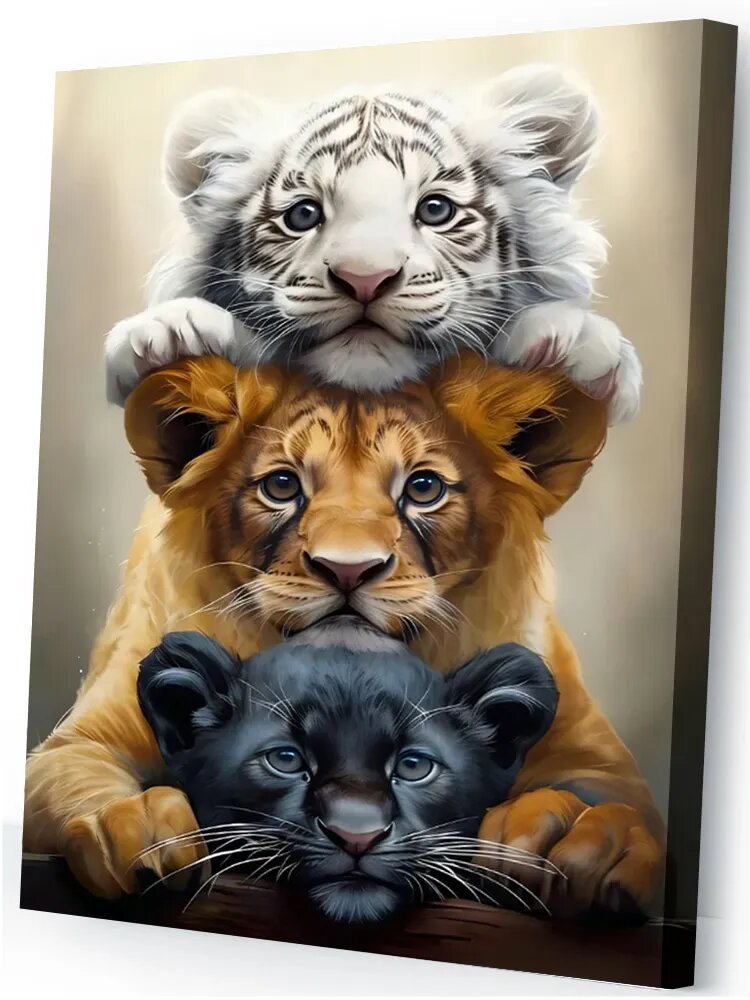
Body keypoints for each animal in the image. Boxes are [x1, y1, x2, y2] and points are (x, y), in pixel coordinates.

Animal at [25, 353, 663, 917]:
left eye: (423, 488)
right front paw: (134, 823)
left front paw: (571, 837)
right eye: (282, 486)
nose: (347, 569)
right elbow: (81, 776)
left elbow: (618, 804)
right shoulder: (85, 739)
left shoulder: (595, 757)